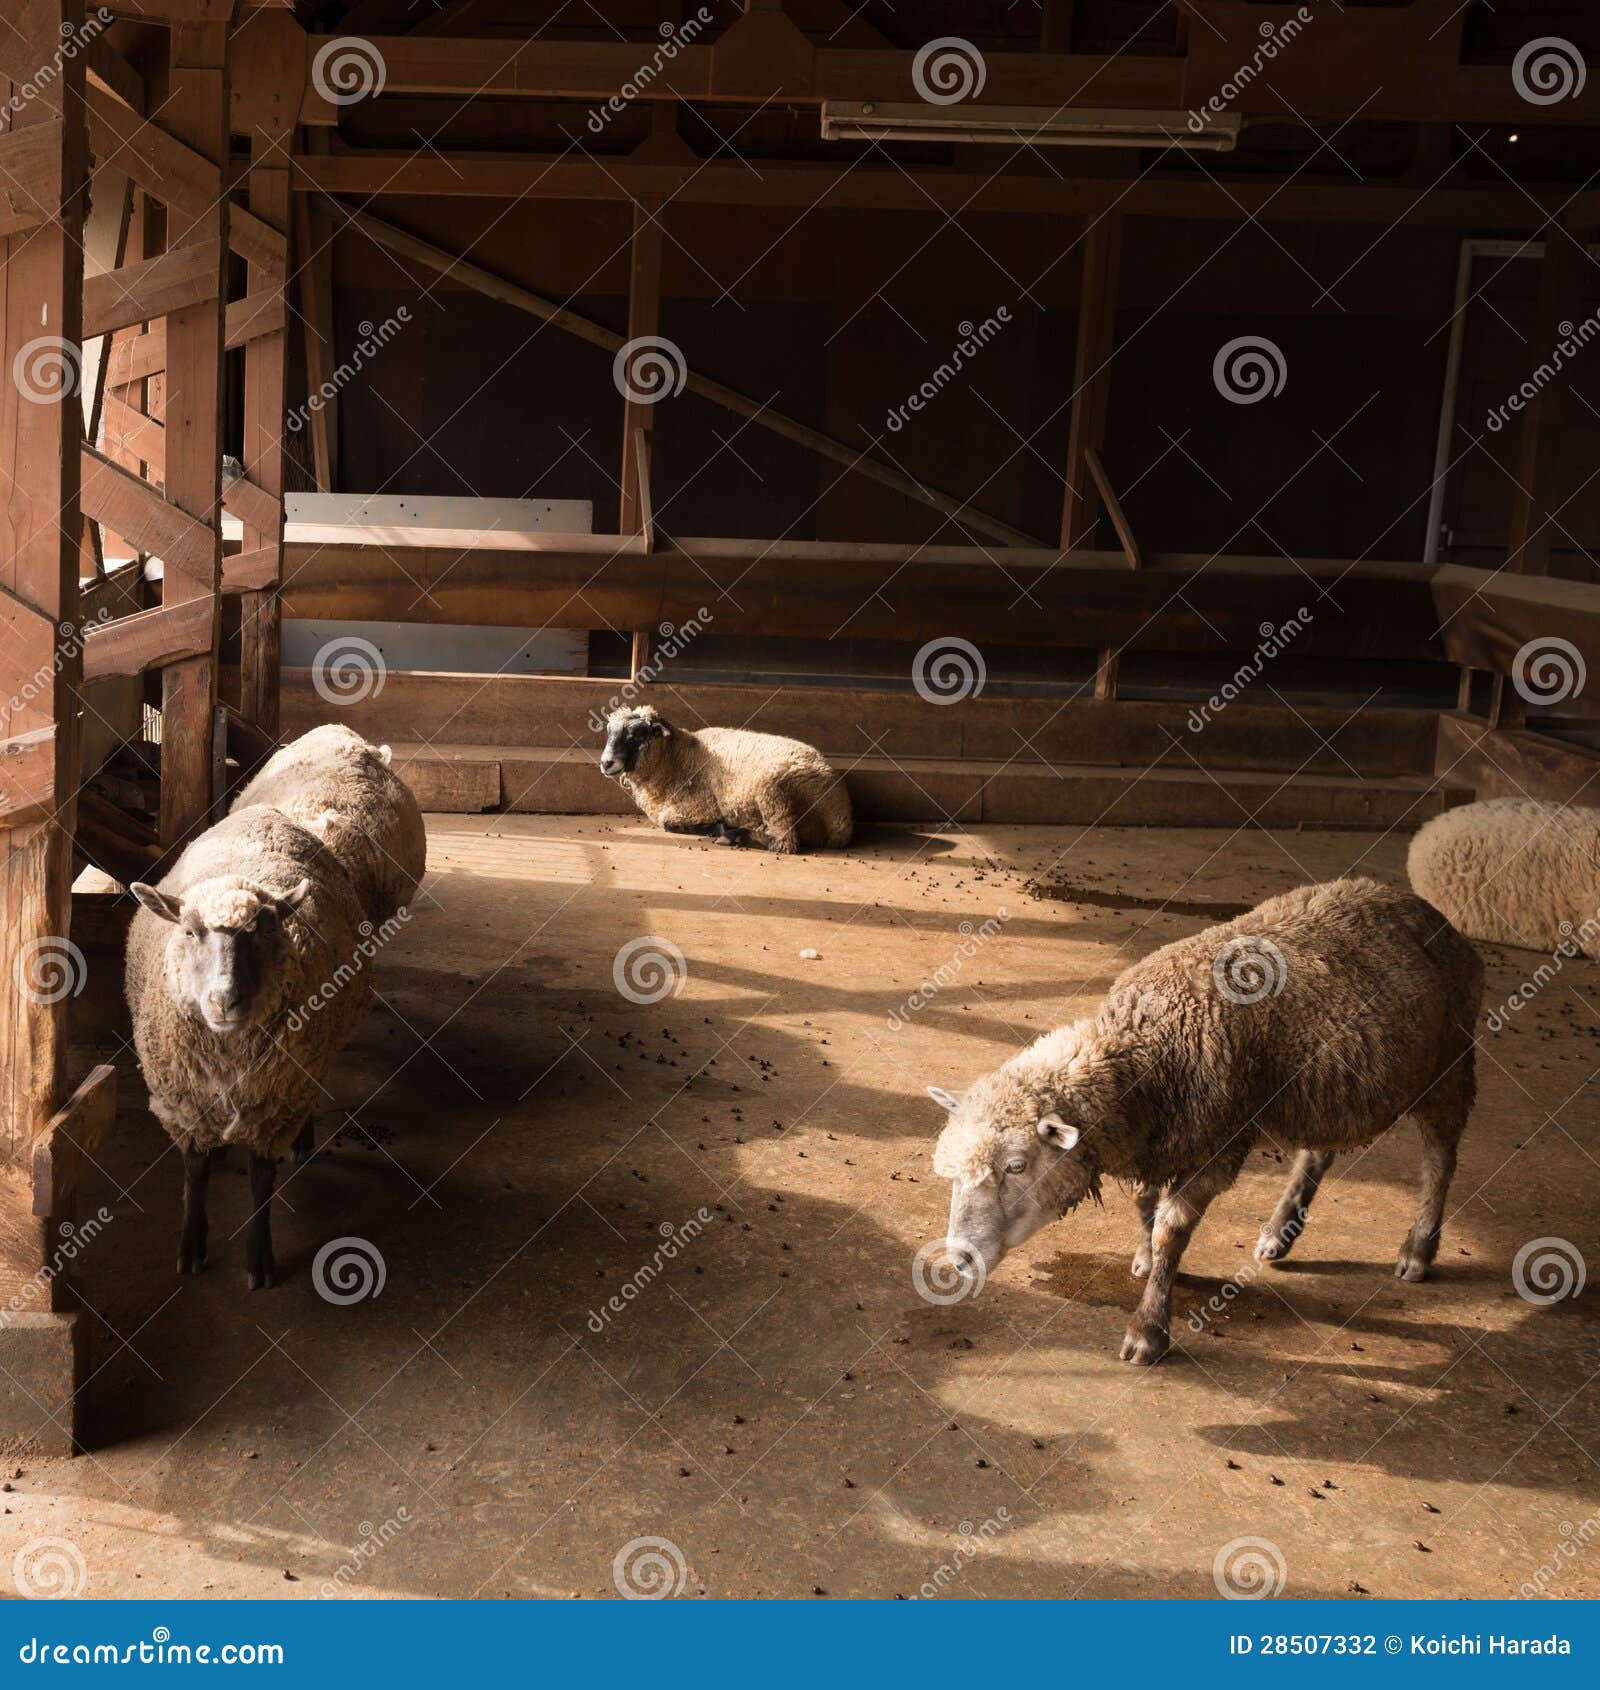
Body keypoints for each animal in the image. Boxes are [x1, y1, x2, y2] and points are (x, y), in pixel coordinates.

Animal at [125, 806, 372, 1289]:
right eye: (189, 931)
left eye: (266, 929)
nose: (224, 1000)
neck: (227, 1054)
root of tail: (265, 810)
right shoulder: (186, 1103)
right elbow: (195, 1171)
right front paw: (191, 1243)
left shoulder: (274, 1104)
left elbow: (261, 1181)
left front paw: (259, 1258)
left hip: (307, 1067)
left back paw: (303, 1140)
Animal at [597, 704, 853, 853]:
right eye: (609, 732)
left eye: (637, 734)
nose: (606, 763)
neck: (678, 758)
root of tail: (841, 817)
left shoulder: (699, 806)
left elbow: (668, 823)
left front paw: (717, 826)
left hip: (772, 789)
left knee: (786, 842)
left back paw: (733, 836)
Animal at [929, 878, 1482, 1365]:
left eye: (1017, 1167)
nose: (959, 1260)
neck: (1145, 1049)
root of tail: (1422, 907)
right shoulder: (1161, 1139)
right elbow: (1145, 1204)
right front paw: (1145, 1260)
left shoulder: (1219, 1145)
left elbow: (1170, 1228)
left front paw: (1148, 1329)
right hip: (1325, 1085)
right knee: (1319, 1148)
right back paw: (1280, 1230)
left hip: (1449, 1066)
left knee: (1441, 1158)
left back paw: (1418, 1249)